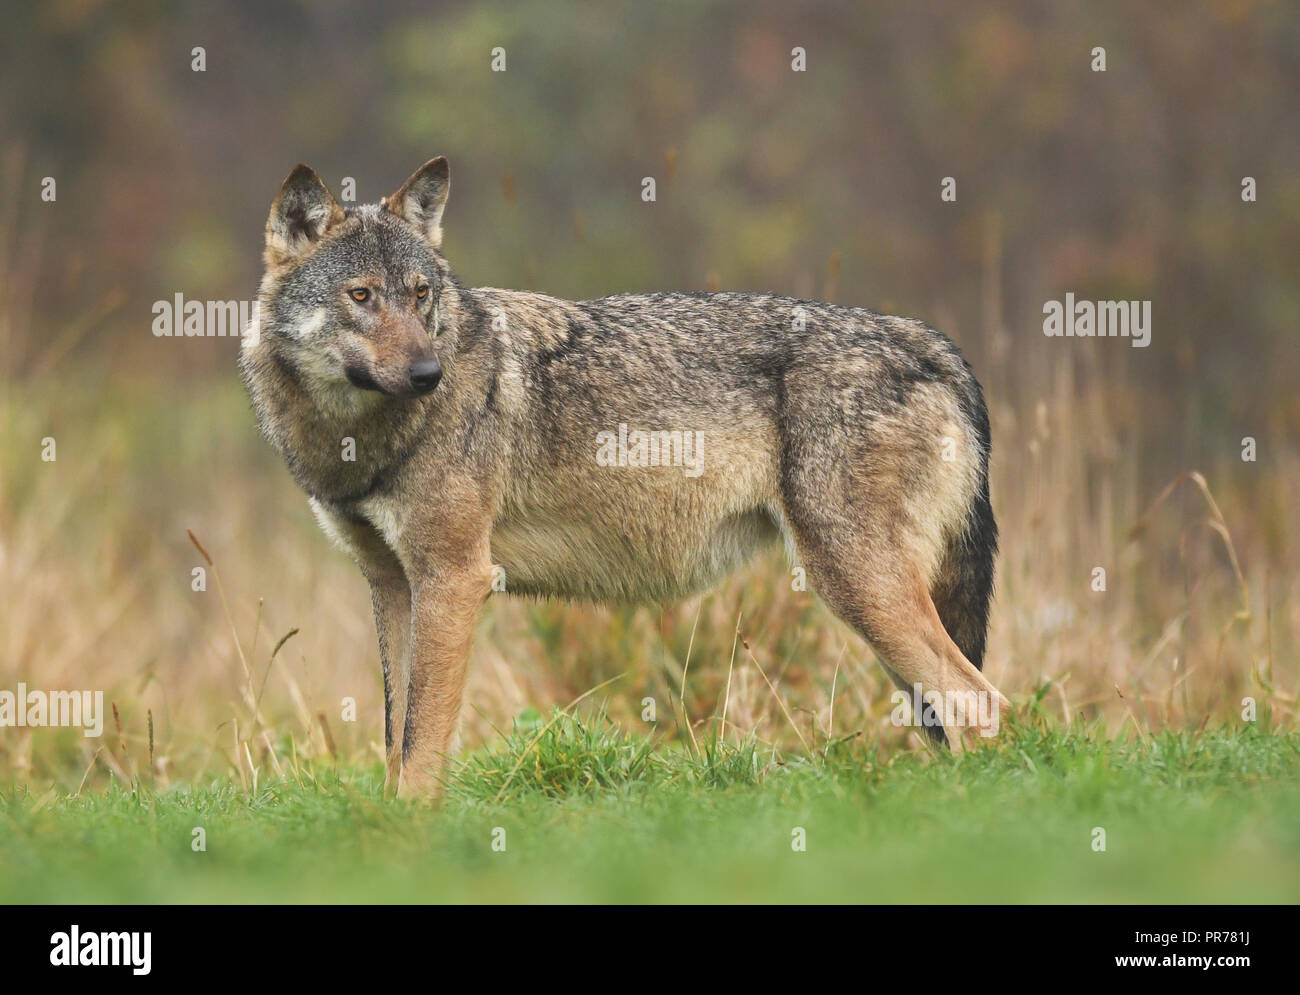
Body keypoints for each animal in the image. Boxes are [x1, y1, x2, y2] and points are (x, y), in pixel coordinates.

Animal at [240, 158, 1008, 798]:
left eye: (421, 294)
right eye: (362, 295)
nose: (431, 373)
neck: (357, 440)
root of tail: (933, 342)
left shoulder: (453, 579)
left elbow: (421, 743)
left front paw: (408, 836)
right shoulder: (393, 585)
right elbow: (396, 740)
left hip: (855, 584)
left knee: (982, 702)